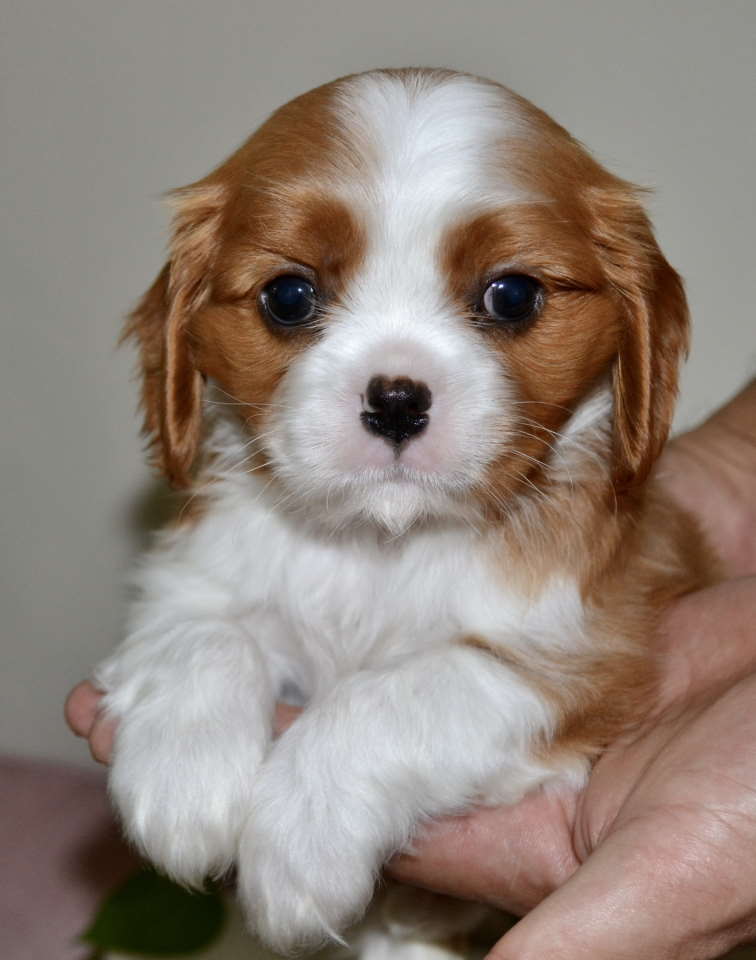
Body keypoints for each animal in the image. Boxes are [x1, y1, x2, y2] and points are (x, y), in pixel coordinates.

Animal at [96, 67, 716, 952]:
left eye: (512, 295)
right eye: (289, 296)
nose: (394, 400)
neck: (380, 548)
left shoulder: (587, 657)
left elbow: (402, 689)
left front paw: (300, 840)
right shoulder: (190, 576)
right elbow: (204, 631)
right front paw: (183, 783)